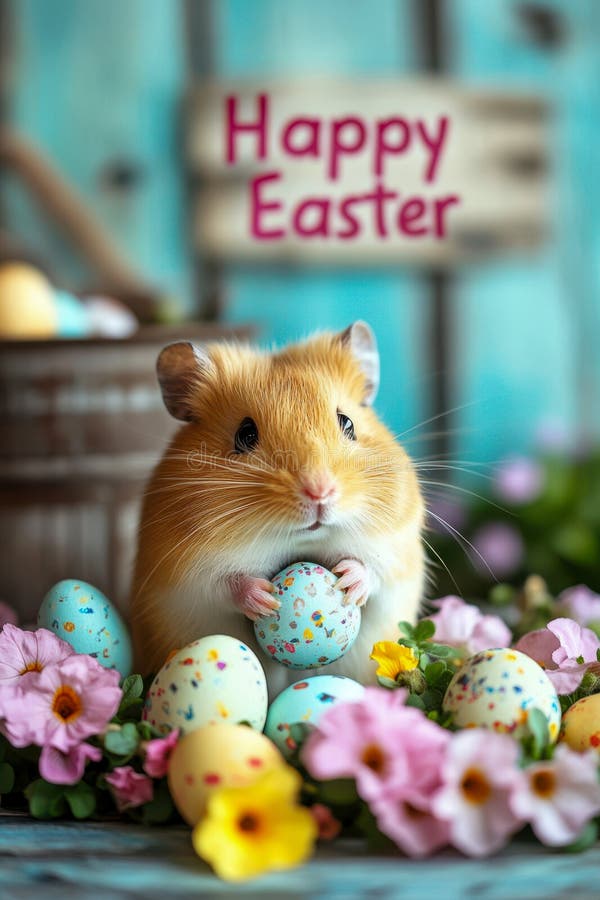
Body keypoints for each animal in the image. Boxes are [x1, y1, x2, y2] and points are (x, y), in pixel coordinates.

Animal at [130, 322, 425, 695]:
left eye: (347, 423)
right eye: (245, 434)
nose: (319, 492)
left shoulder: (397, 547)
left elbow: (374, 570)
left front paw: (345, 582)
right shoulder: (185, 574)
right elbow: (225, 584)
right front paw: (267, 599)